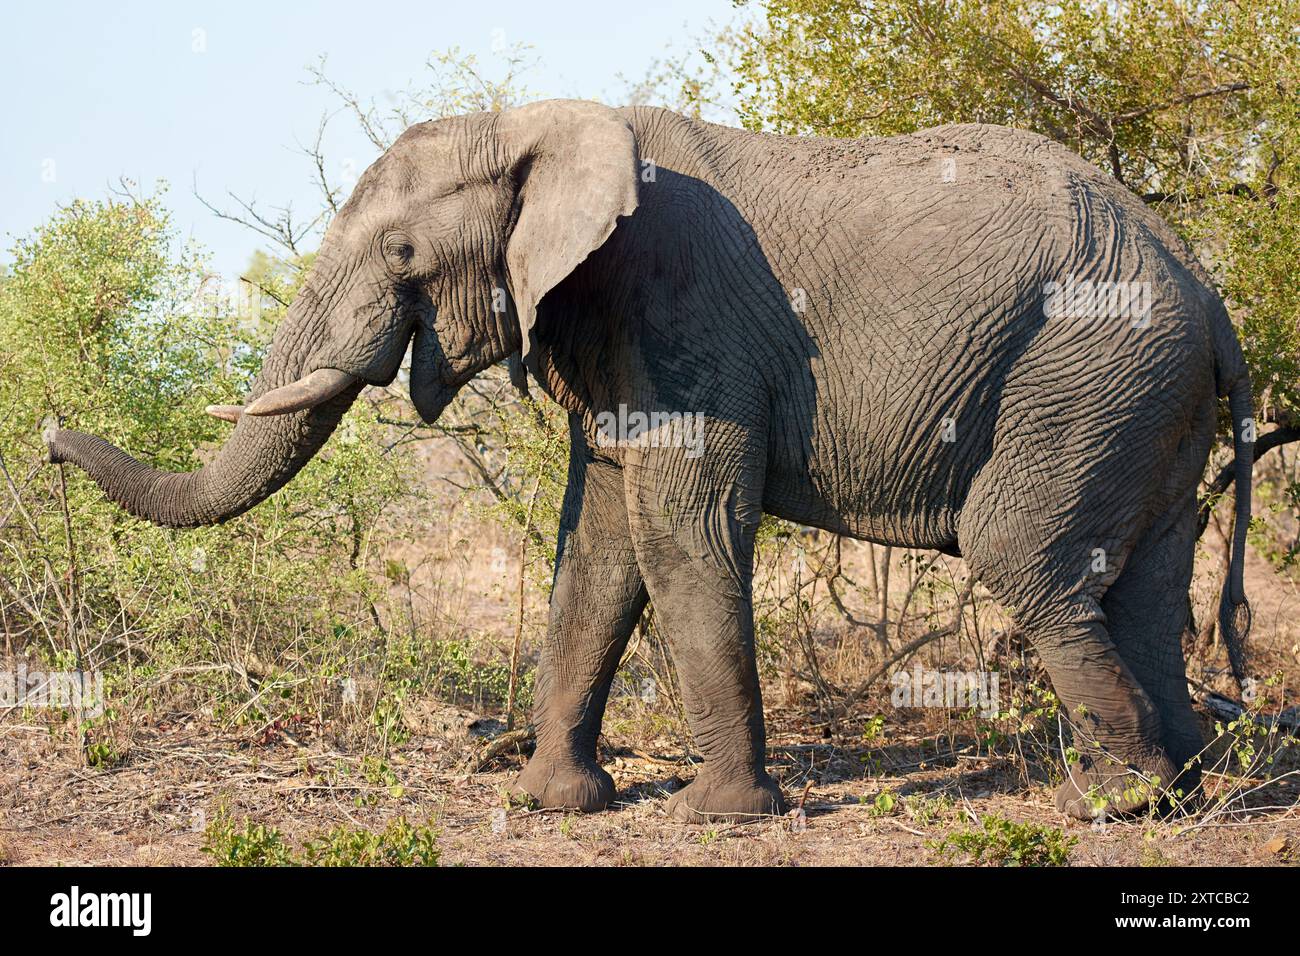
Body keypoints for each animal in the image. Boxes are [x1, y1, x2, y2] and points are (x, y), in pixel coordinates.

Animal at [48, 99, 1254, 822]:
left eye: (402, 254)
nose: (51, 438)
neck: (531, 122)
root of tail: (1209, 296)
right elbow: (598, 546)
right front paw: (555, 803)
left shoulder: (683, 313)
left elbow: (681, 530)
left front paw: (719, 816)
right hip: (1139, 397)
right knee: (1147, 581)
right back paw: (1187, 789)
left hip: (1086, 368)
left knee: (1027, 557)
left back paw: (1119, 802)